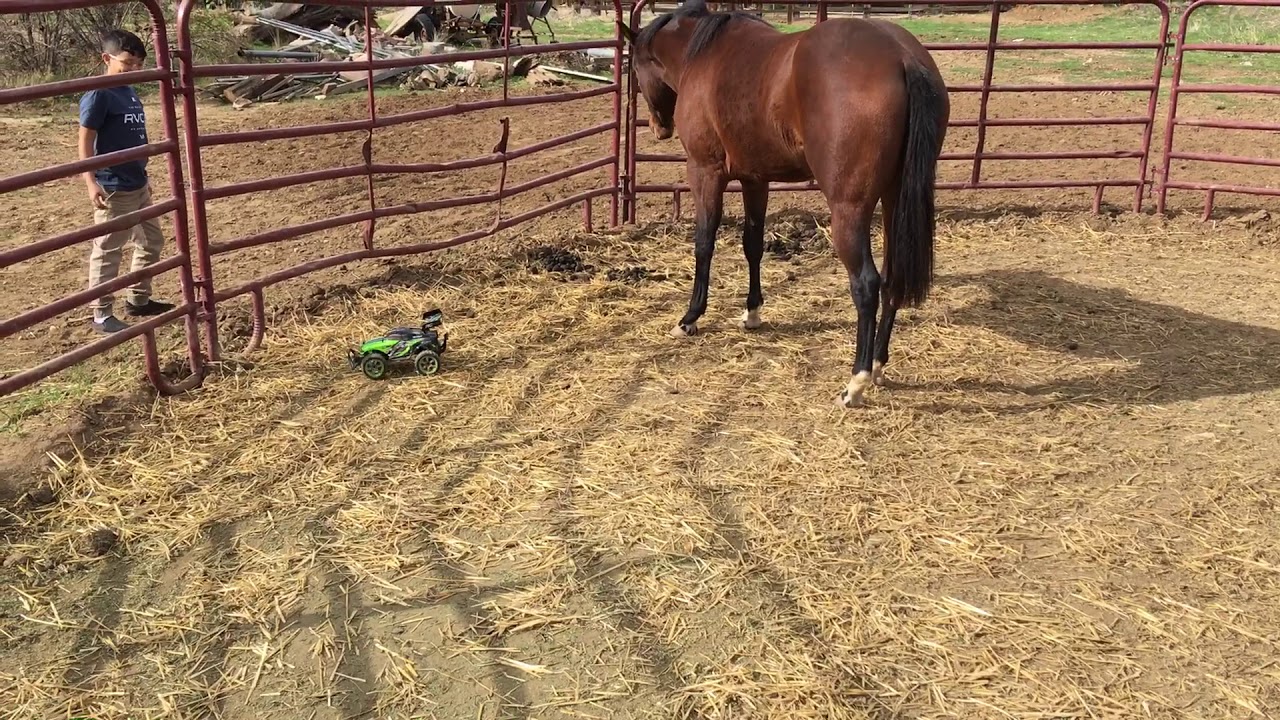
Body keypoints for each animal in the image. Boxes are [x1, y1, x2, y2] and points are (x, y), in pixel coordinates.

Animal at [619, 0, 950, 408]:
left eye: (635, 68)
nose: (658, 127)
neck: (703, 54)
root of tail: (902, 57)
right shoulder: (755, 179)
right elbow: (753, 245)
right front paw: (752, 313)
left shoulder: (705, 172)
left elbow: (704, 244)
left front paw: (691, 317)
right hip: (894, 198)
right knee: (892, 278)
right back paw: (877, 365)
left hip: (849, 210)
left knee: (867, 284)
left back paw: (856, 381)